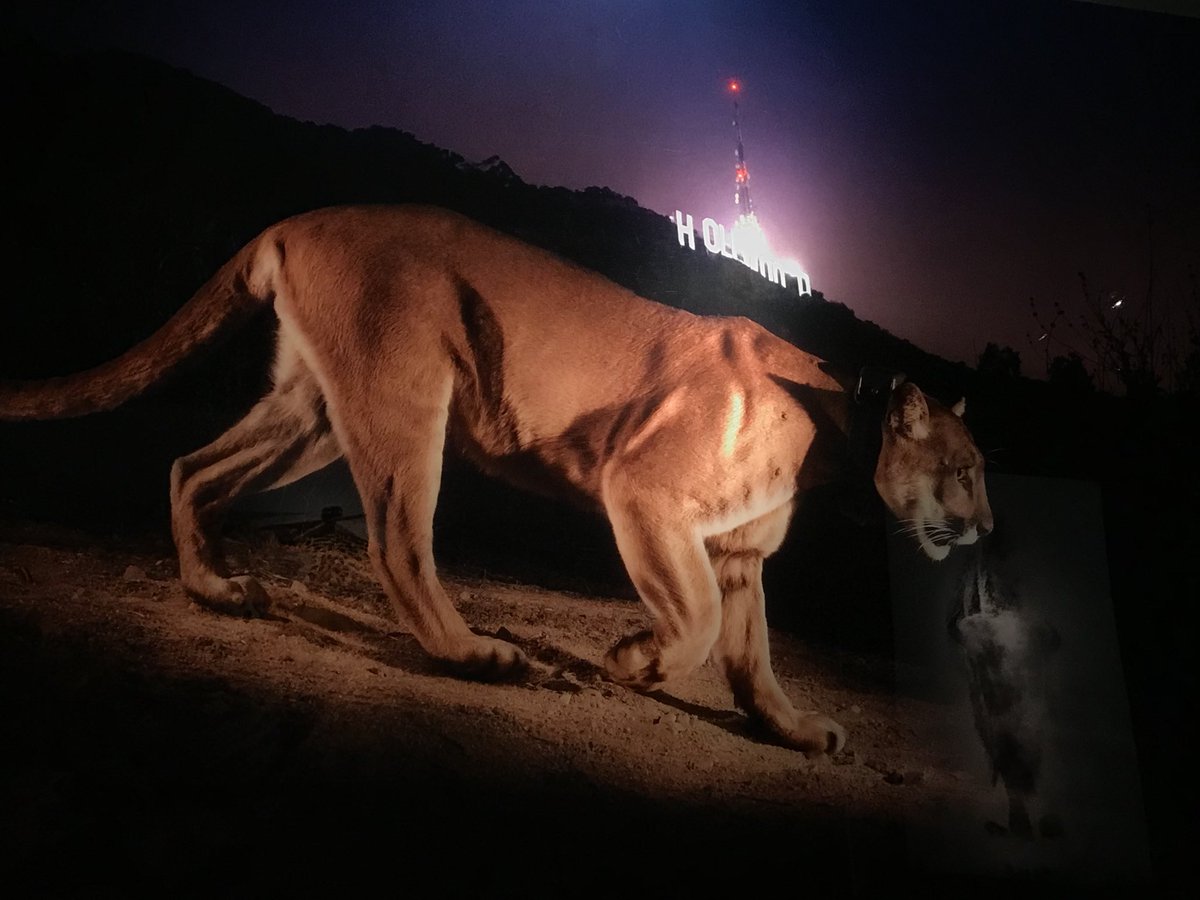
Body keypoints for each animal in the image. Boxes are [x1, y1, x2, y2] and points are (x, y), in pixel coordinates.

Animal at [0, 205, 992, 755]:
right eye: (967, 472)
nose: (987, 527)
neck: (841, 419)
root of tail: (299, 219)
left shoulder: (740, 555)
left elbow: (753, 657)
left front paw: (792, 729)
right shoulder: (644, 495)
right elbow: (704, 624)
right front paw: (633, 662)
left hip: (313, 410)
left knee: (190, 466)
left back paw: (215, 587)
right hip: (407, 401)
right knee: (397, 543)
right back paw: (477, 655)